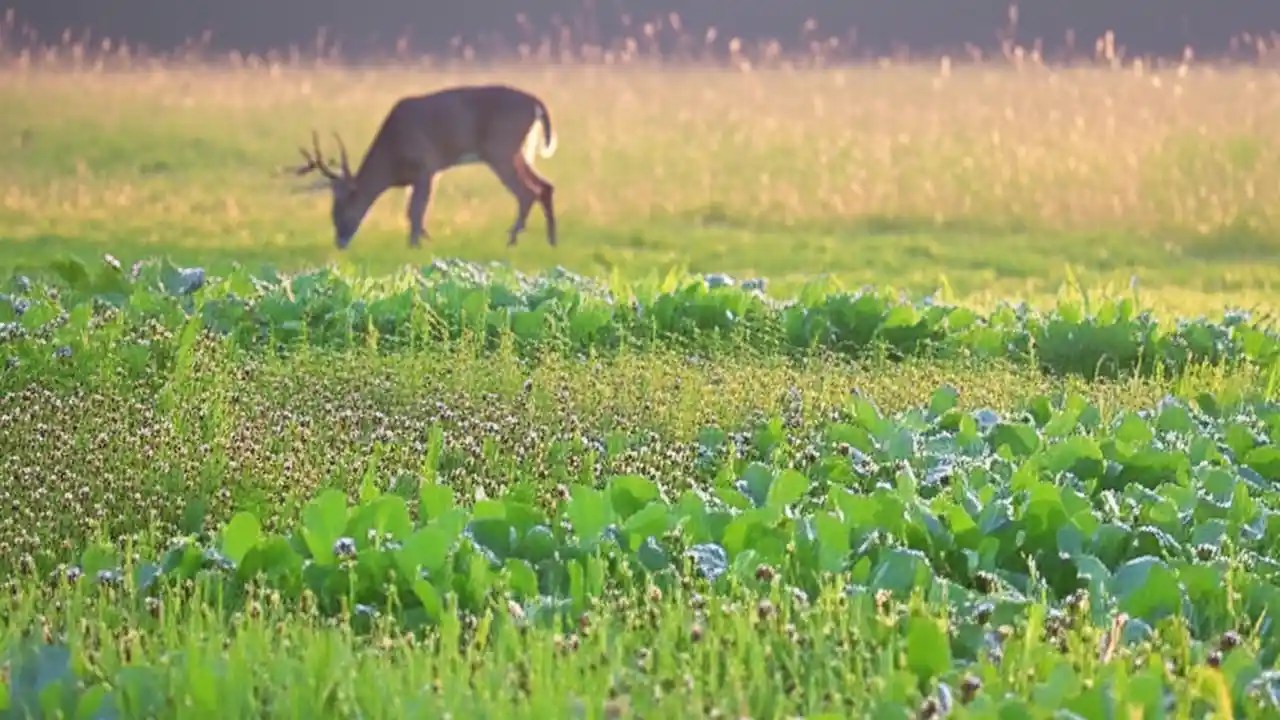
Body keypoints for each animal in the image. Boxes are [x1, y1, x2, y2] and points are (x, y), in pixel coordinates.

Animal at [291, 84, 558, 250]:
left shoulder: (426, 167)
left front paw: (416, 245)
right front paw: (421, 241)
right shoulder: (423, 175)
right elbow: (413, 212)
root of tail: (535, 103)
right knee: (545, 186)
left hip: (500, 149)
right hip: (514, 150)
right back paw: (551, 240)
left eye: (343, 208)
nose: (340, 242)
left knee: (527, 191)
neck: (392, 158)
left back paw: (513, 238)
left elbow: (415, 211)